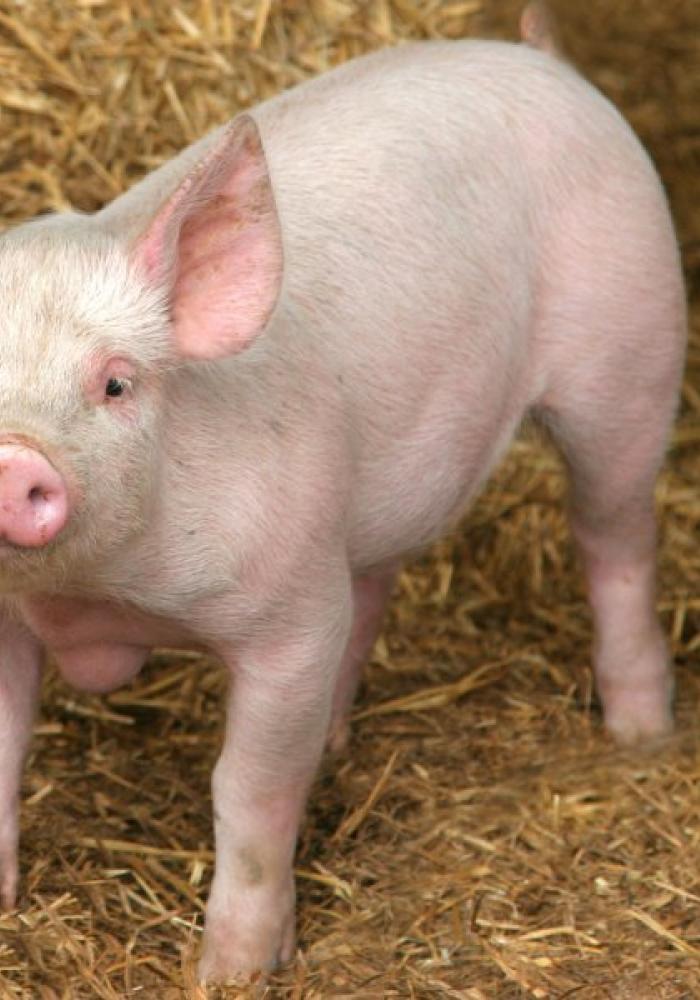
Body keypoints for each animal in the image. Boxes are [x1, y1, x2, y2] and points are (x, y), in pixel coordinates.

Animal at [0, 10, 686, 986]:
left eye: (116, 383)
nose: (16, 459)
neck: (87, 601)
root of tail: (540, 59)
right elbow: (5, 753)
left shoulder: (287, 613)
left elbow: (249, 789)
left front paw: (232, 975)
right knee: (376, 582)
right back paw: (338, 738)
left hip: (629, 356)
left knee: (614, 540)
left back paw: (639, 737)